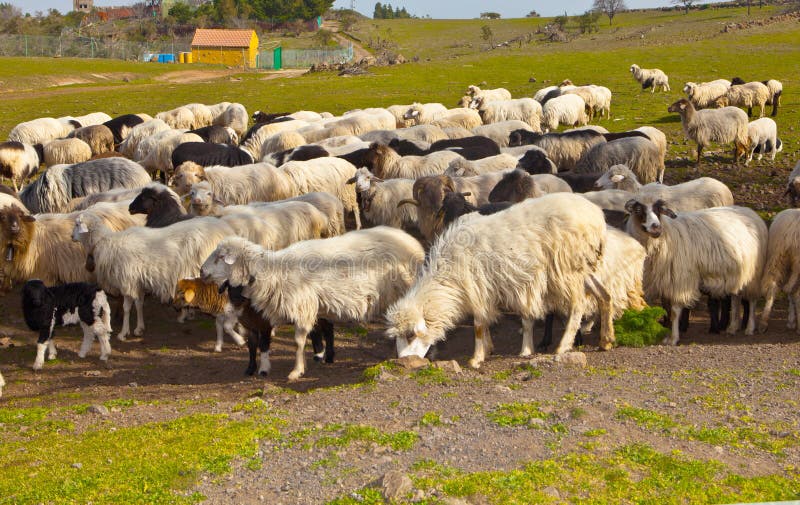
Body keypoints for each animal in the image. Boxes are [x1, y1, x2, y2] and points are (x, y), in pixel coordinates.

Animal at [72, 212, 235, 341]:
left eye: (77, 224)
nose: (71, 236)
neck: (105, 242)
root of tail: (225, 229)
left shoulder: (127, 281)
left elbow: (127, 308)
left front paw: (123, 333)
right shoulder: (137, 282)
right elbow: (139, 304)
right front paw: (139, 328)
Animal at [200, 228, 426, 380]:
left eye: (220, 257)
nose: (201, 271)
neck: (272, 271)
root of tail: (413, 242)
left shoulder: (302, 307)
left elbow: (298, 342)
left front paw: (296, 370)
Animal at [386, 193, 612, 365]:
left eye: (410, 334)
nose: (402, 361)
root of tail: (596, 216)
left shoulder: (477, 285)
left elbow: (478, 324)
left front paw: (476, 359)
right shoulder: (487, 289)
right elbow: (488, 321)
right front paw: (489, 349)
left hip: (567, 268)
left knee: (578, 306)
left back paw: (564, 346)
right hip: (586, 267)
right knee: (605, 295)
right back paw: (606, 340)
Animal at [624, 199, 767, 344]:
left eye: (658, 211)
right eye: (638, 210)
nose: (656, 227)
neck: (666, 236)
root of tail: (749, 211)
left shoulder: (680, 280)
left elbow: (675, 311)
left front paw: (673, 338)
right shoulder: (659, 279)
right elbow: (663, 308)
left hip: (754, 272)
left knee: (752, 300)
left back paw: (749, 328)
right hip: (738, 272)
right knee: (736, 296)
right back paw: (732, 327)